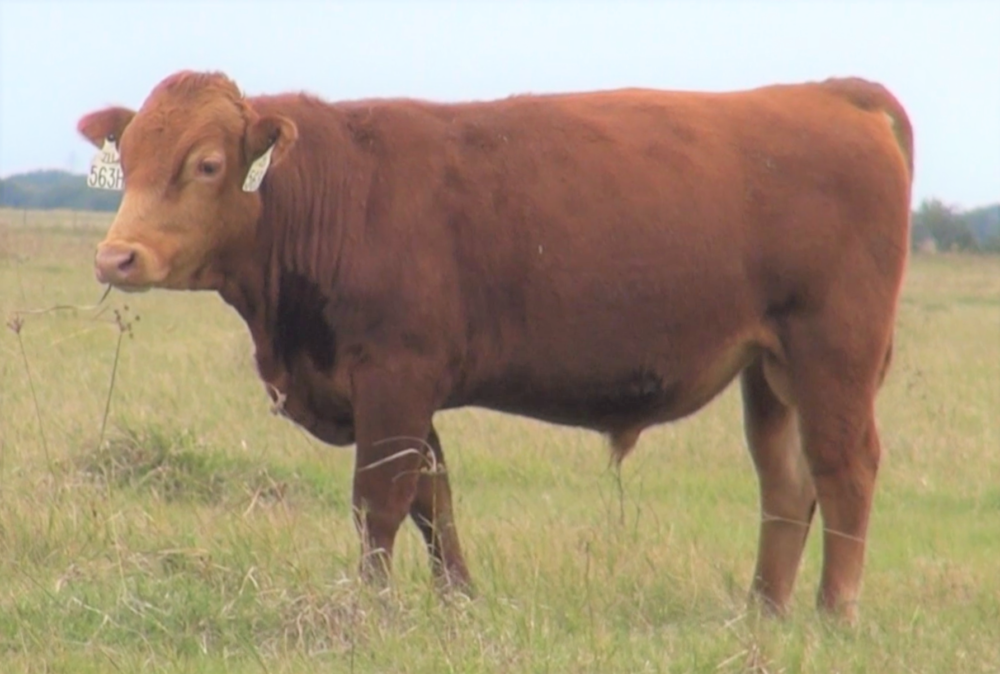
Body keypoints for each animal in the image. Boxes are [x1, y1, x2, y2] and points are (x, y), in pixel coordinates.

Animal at [77, 70, 913, 622]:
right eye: (131, 158)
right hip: (770, 372)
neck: (334, 192)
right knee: (786, 483)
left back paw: (835, 614)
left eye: (207, 164)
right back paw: (763, 611)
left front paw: (372, 608)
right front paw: (458, 600)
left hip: (832, 352)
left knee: (845, 471)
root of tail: (827, 92)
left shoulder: (394, 377)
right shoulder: (403, 394)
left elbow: (380, 501)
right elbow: (432, 497)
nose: (118, 257)